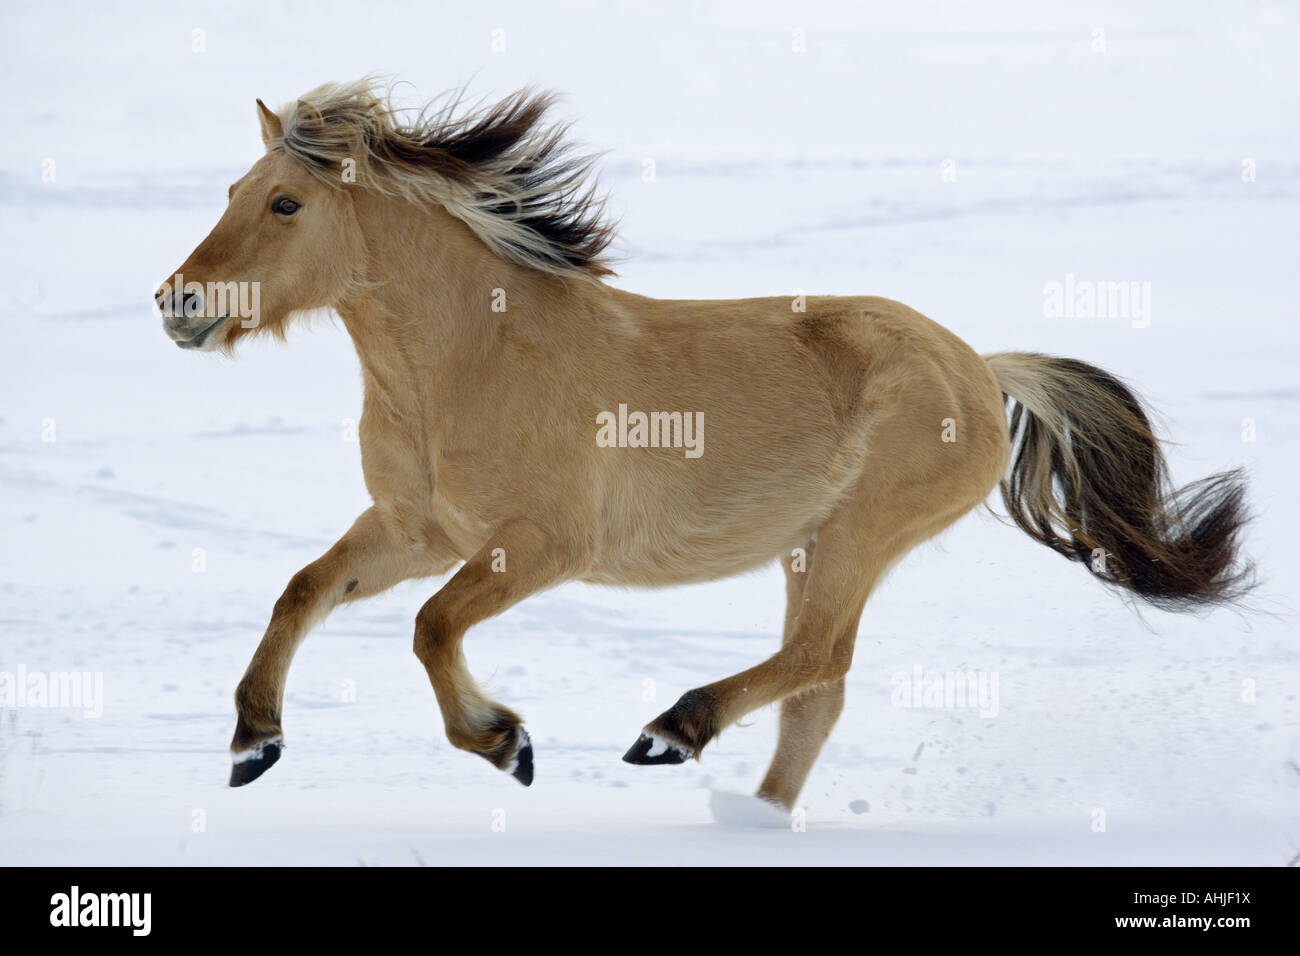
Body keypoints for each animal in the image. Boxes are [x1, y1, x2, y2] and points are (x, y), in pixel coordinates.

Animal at [154, 80, 1252, 811]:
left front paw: (506, 741)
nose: (179, 303)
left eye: (286, 203)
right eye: (231, 189)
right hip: (812, 548)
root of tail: (981, 370)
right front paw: (254, 742)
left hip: (854, 536)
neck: (468, 361)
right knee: (816, 693)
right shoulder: (416, 528)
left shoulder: (541, 546)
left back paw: (669, 732)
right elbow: (303, 588)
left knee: (815, 656)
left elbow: (429, 626)